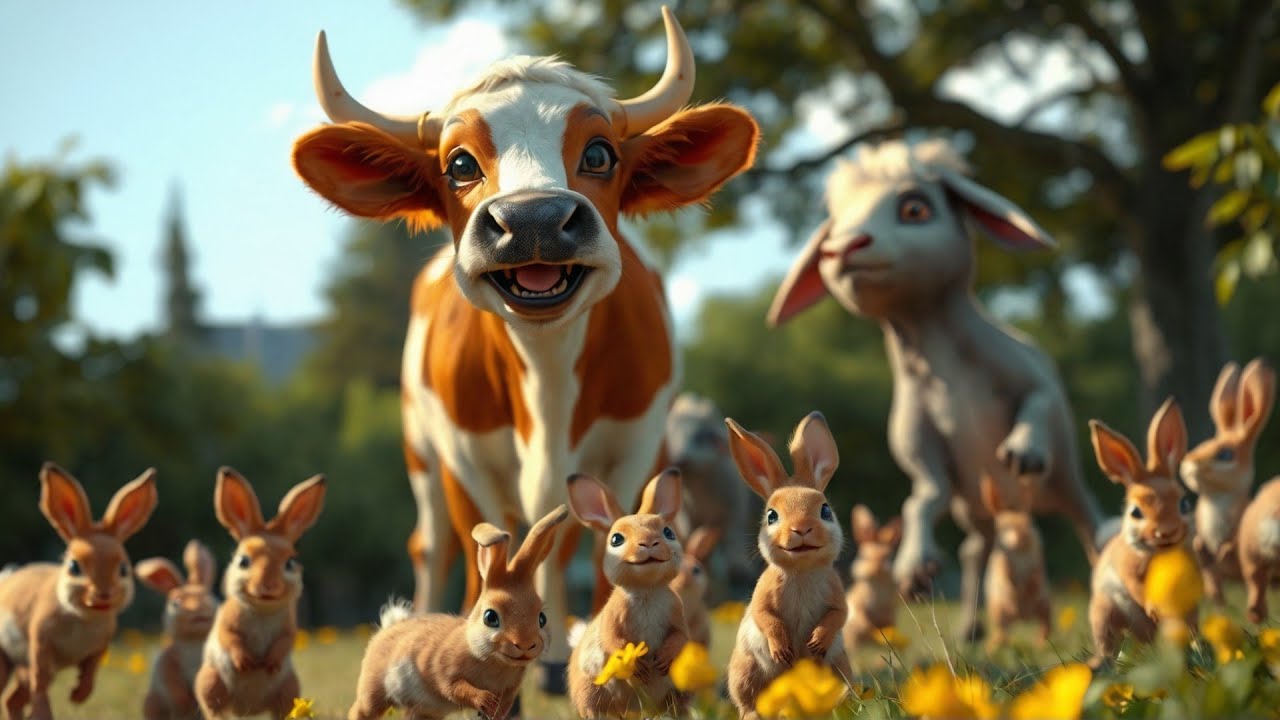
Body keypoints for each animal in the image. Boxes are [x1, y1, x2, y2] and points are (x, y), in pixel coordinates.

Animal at [291, 7, 759, 690]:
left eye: (599, 152)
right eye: (459, 163)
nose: (533, 217)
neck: (548, 378)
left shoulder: (639, 445)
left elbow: (603, 541)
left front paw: (606, 656)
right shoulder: (464, 455)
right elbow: (491, 546)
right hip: (421, 452)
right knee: (433, 545)